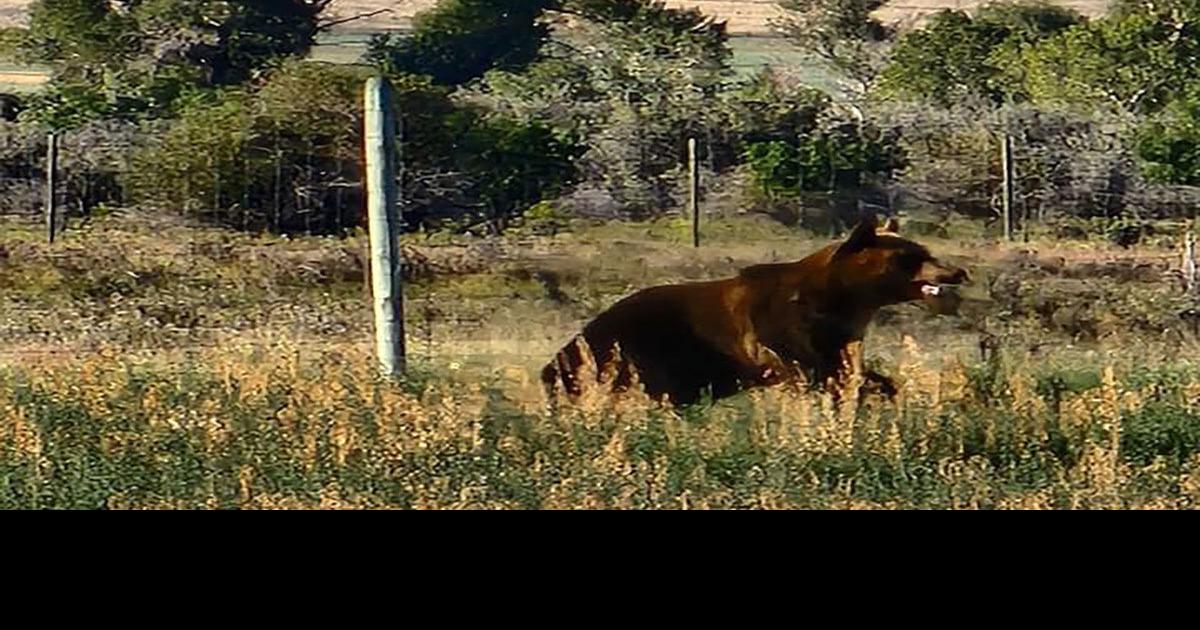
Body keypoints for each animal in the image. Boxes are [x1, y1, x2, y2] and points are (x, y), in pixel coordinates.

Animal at [540, 214, 970, 409]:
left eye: (926, 251)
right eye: (910, 257)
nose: (957, 271)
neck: (843, 298)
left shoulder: (840, 333)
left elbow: (849, 369)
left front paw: (884, 389)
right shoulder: (780, 328)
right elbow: (805, 368)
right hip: (630, 349)